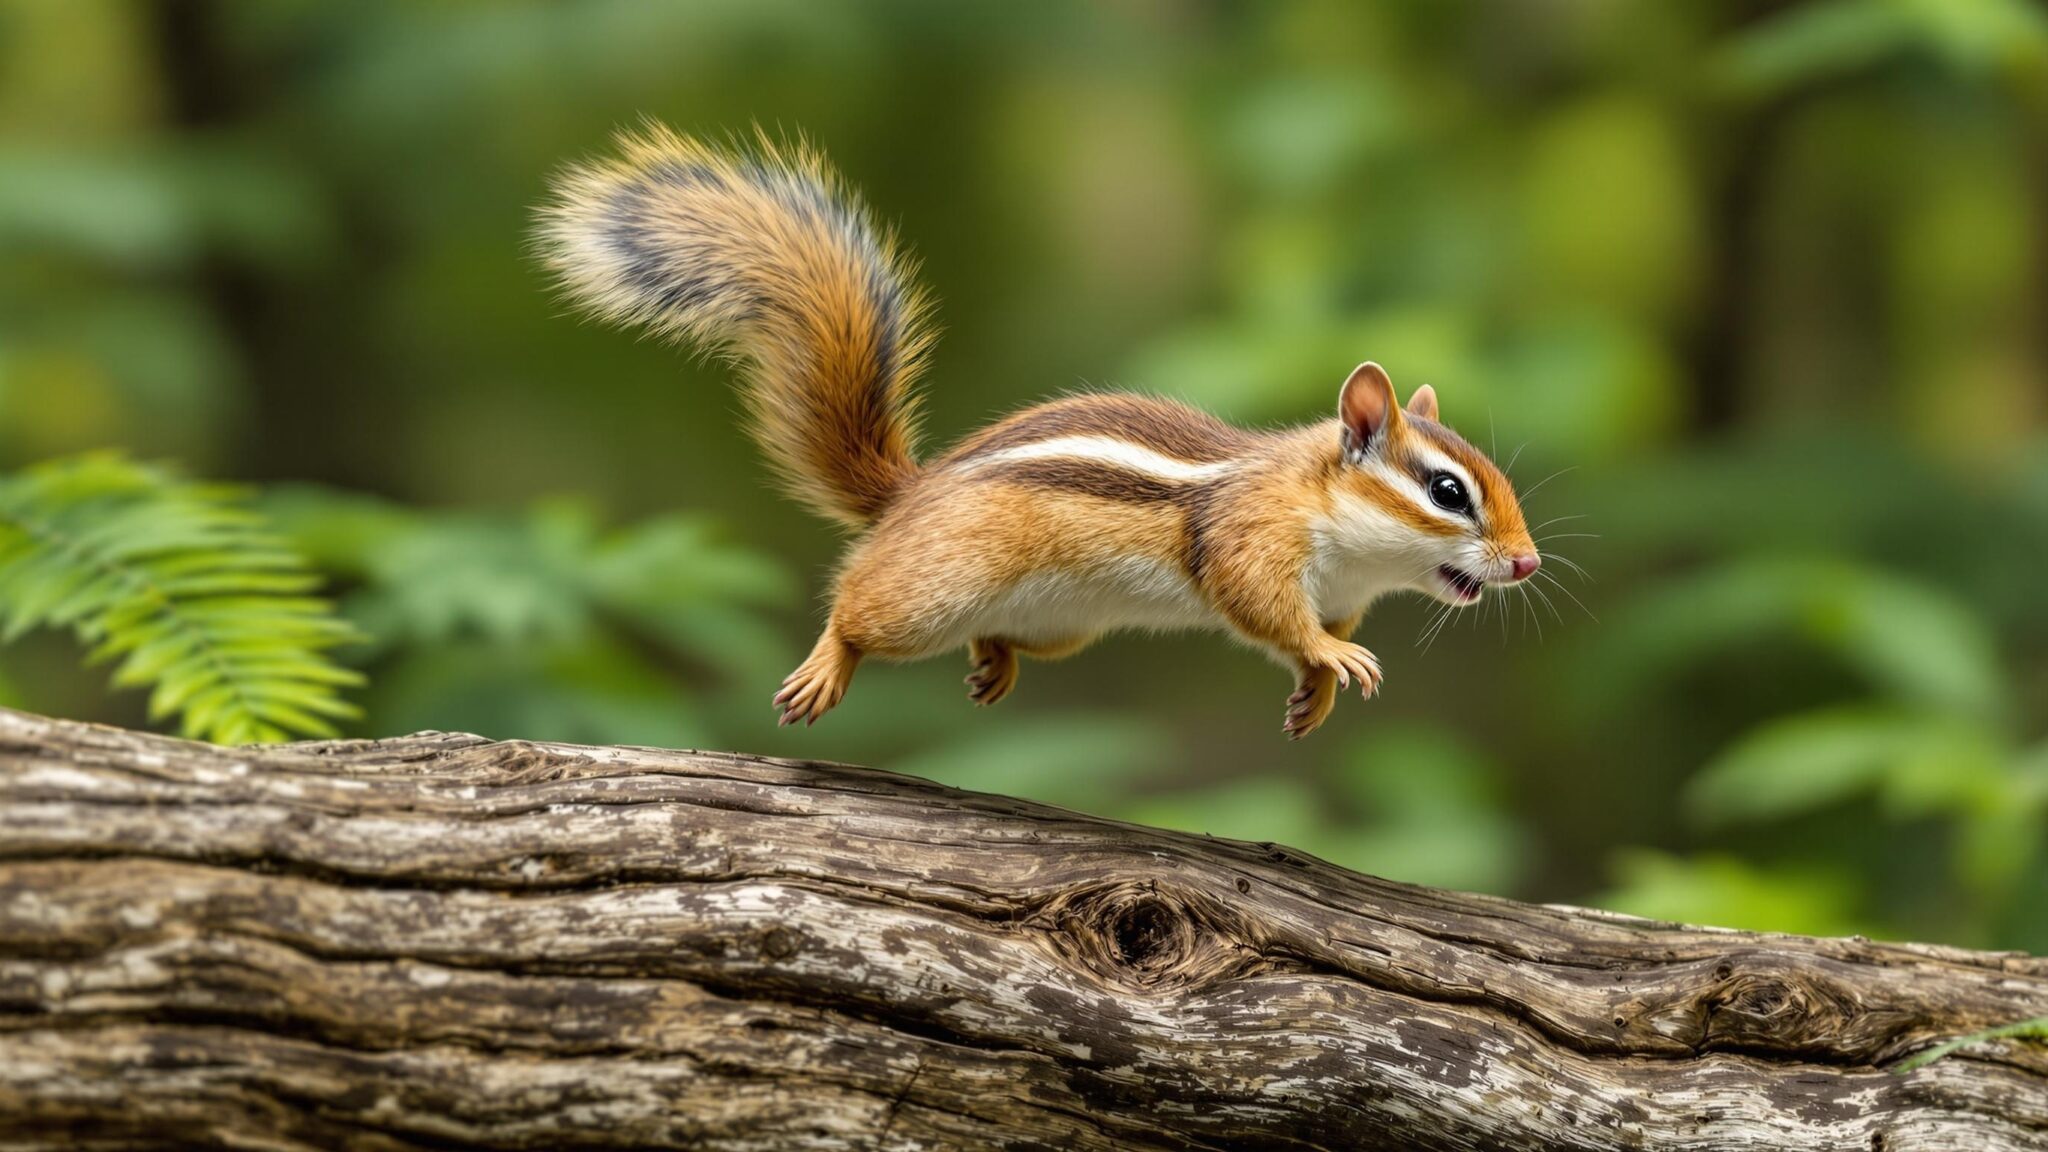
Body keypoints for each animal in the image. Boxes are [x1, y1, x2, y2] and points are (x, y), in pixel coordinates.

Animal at [537, 125, 1542, 739]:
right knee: (857, 607)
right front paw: (1335, 660)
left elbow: (1300, 639)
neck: (1344, 537)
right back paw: (830, 662)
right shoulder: (1250, 542)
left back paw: (996, 664)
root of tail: (909, 496)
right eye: (1447, 491)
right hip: (930, 589)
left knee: (1001, 637)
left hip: (1063, 625)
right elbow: (1267, 610)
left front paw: (1318, 691)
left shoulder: (1333, 591)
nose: (1530, 563)